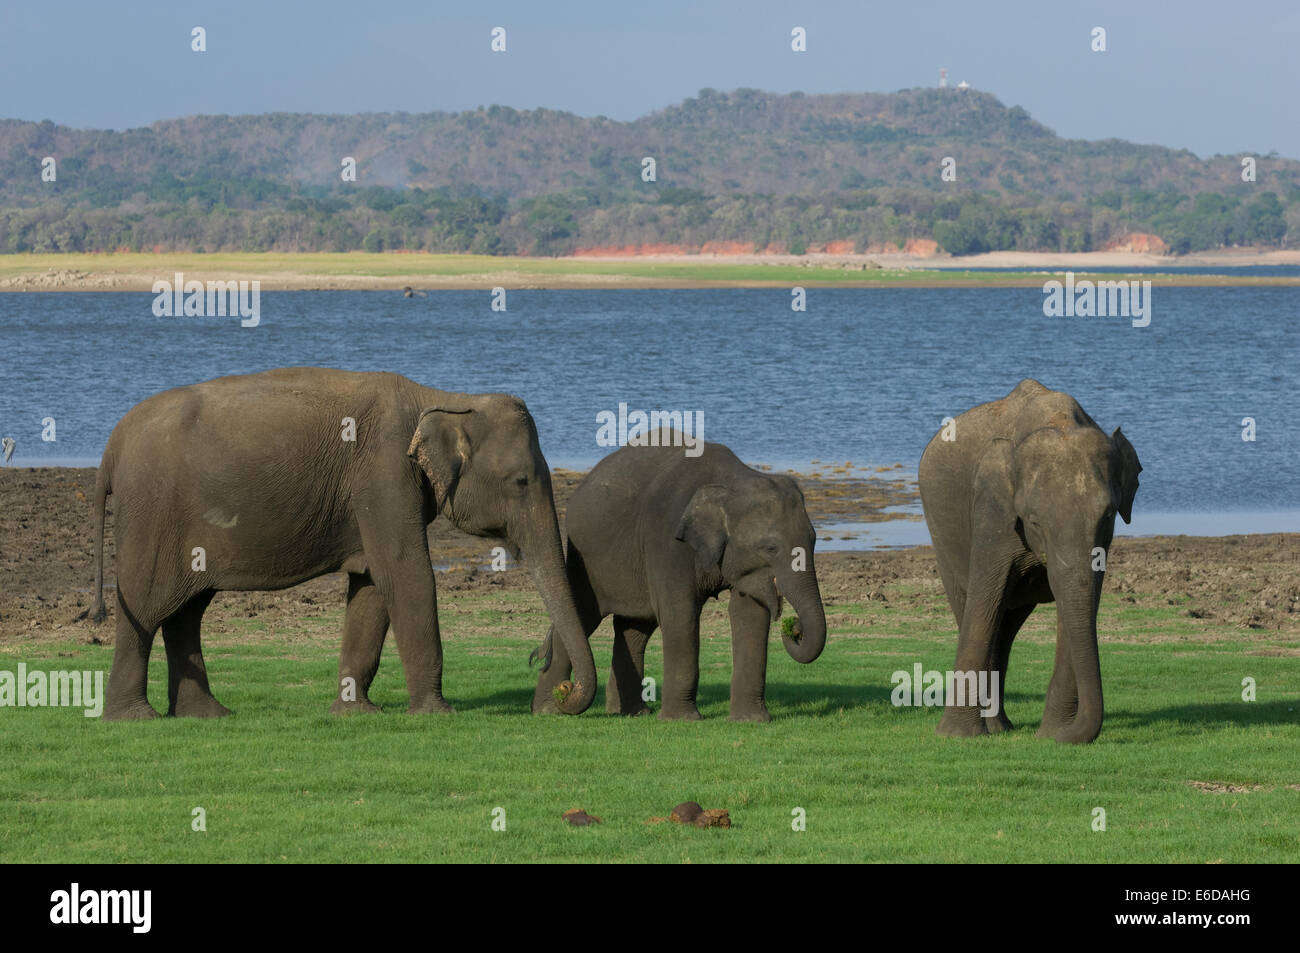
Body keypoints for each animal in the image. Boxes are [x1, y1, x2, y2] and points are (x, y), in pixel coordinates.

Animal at [89, 366, 598, 720]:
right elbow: (406, 574)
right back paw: (133, 718)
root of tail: (111, 448)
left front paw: (355, 712)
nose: (555, 686)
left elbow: (371, 587)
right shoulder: (384, 478)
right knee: (146, 606)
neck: (444, 399)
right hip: (152, 516)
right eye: (520, 482)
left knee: (187, 611)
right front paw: (437, 713)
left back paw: (207, 715)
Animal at [531, 438, 827, 722]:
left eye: (814, 540)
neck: (731, 480)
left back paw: (628, 712)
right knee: (583, 615)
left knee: (635, 627)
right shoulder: (667, 540)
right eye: (771, 548)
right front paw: (683, 720)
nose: (794, 628)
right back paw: (550, 708)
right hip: (585, 557)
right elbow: (680, 613)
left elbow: (749, 613)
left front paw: (751, 721)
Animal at [918, 379, 1141, 744]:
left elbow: (1079, 602)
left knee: (1006, 625)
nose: (1055, 738)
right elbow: (984, 599)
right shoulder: (992, 509)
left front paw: (1053, 734)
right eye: (1034, 521)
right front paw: (955, 736)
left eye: (1108, 515)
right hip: (941, 534)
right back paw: (992, 728)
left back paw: (1001, 727)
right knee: (974, 609)